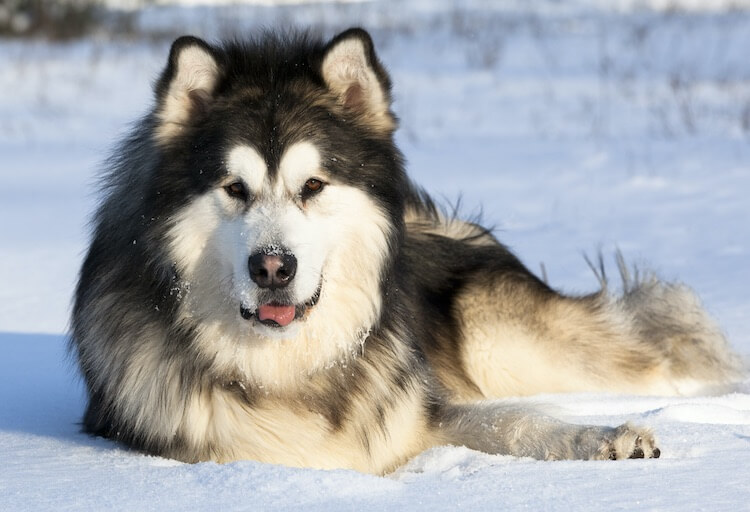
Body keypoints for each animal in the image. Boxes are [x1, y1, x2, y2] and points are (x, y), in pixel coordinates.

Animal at [73, 29, 744, 476]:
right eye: (234, 189)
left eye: (312, 186)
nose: (272, 267)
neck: (291, 366)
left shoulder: (420, 410)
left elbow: (518, 420)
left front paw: (607, 438)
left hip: (505, 339)